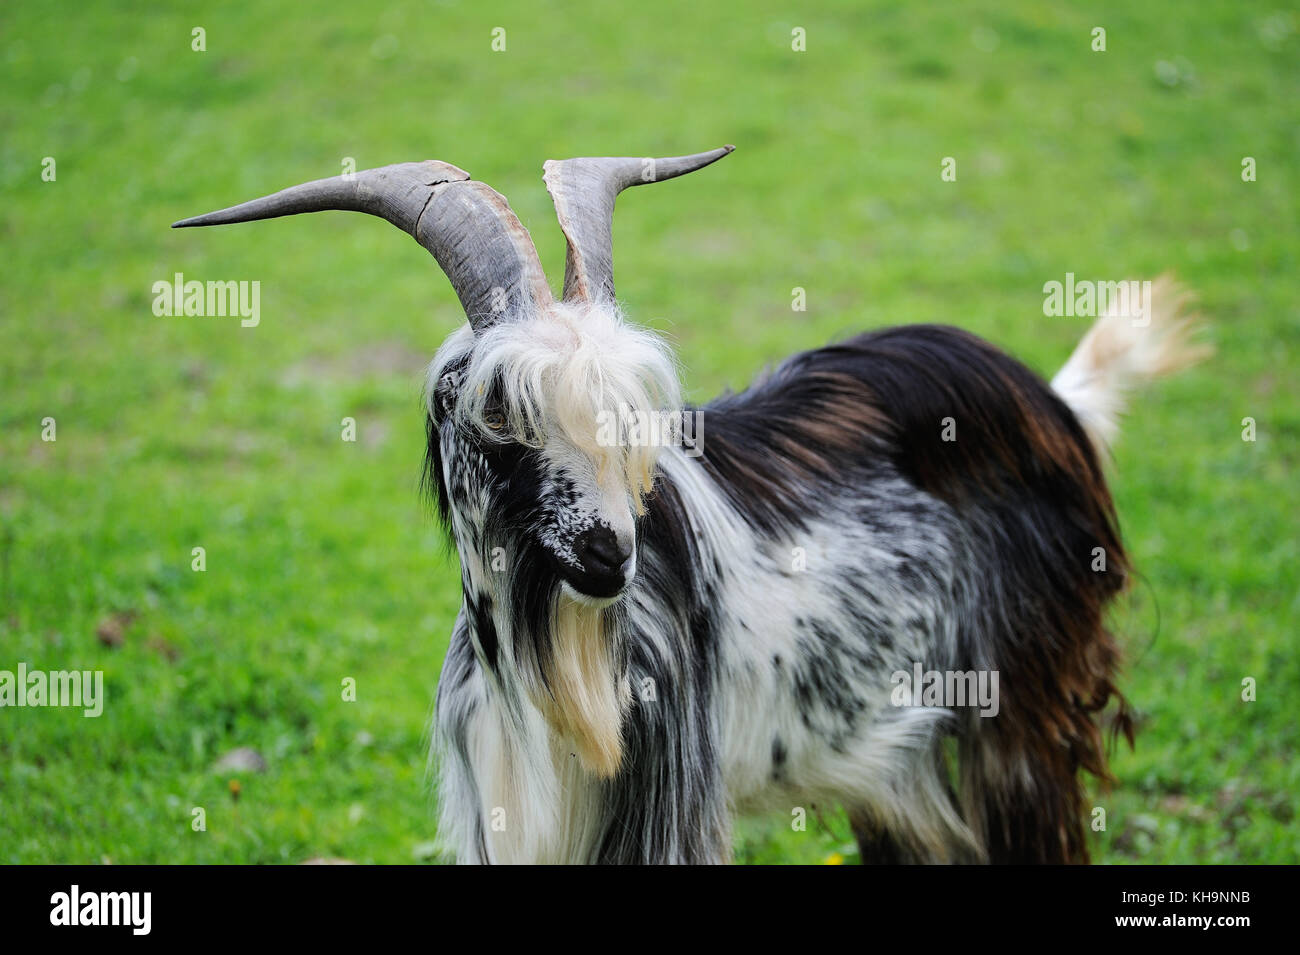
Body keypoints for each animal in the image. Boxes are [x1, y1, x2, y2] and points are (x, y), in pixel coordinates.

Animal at [174, 146, 1207, 864]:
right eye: (500, 412)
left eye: (628, 414)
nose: (609, 553)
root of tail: (1057, 404)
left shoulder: (663, 809)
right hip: (898, 764)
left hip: (1020, 711)